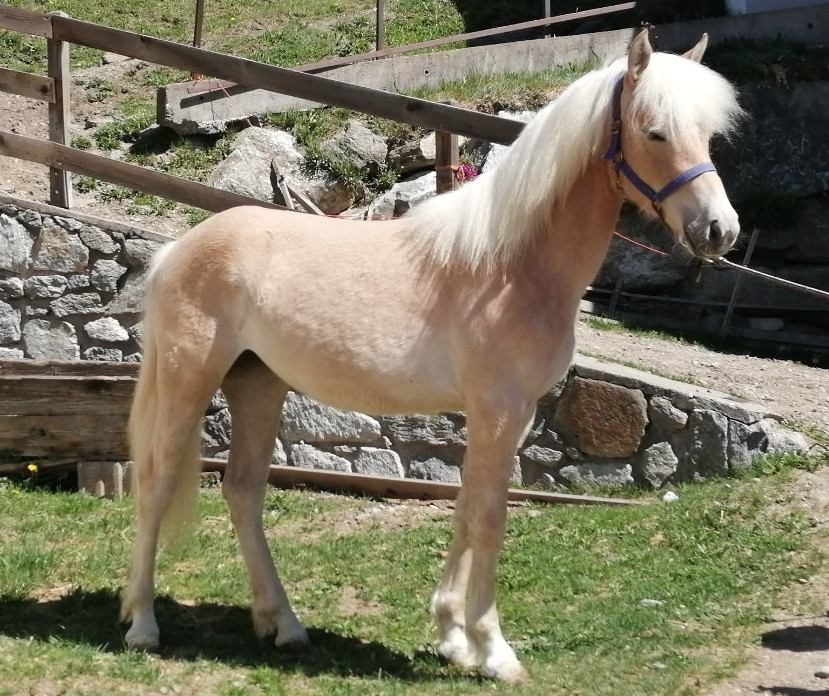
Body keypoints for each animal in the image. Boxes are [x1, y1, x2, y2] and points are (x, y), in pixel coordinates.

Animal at [121, 29, 743, 681]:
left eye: (707, 133)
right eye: (654, 132)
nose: (719, 231)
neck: (510, 266)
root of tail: (176, 251)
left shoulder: (513, 415)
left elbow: (467, 508)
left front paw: (452, 636)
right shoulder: (498, 409)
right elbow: (490, 517)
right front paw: (494, 650)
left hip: (259, 385)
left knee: (243, 491)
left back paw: (283, 624)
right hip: (190, 381)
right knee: (156, 482)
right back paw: (143, 624)